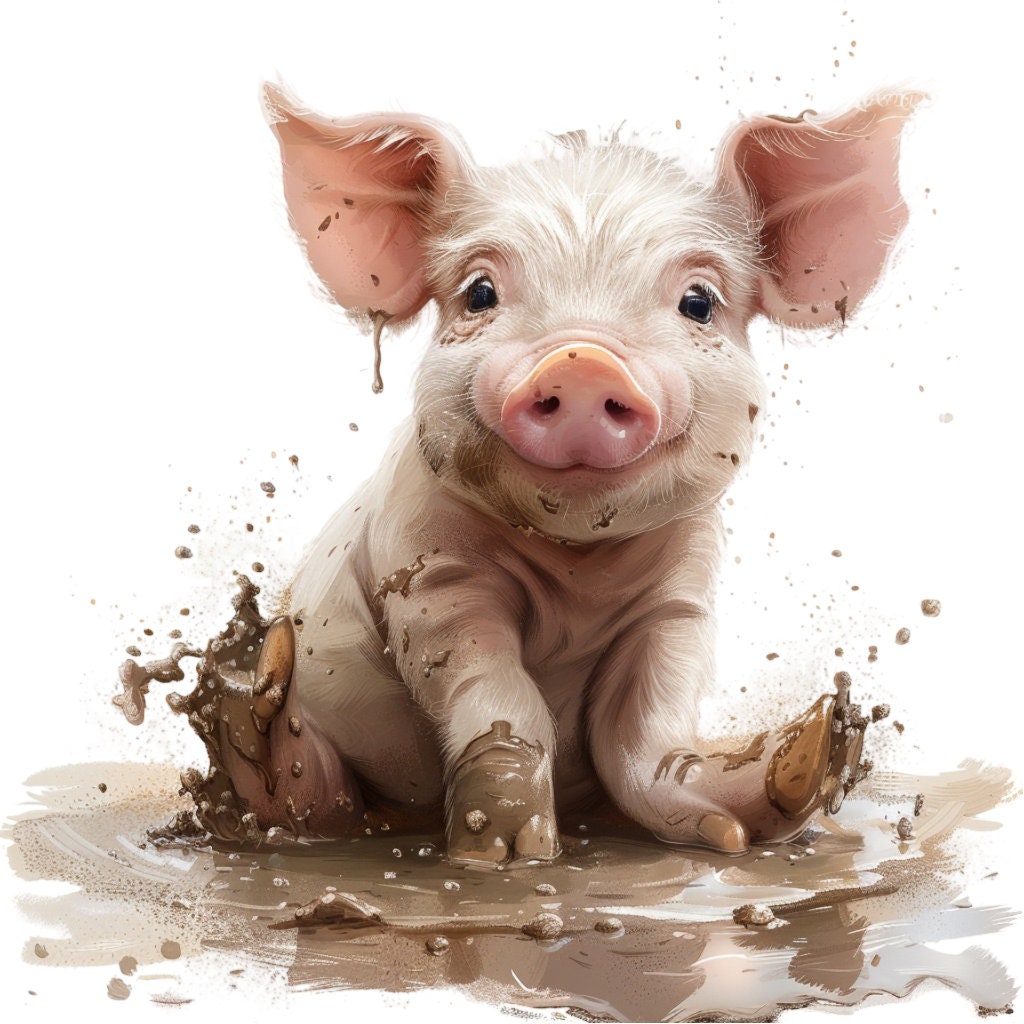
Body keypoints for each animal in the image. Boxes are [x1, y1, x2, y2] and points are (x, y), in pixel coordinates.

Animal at [176, 86, 922, 865]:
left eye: (699, 302)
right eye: (479, 293)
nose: (582, 361)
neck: (578, 577)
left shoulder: (676, 604)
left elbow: (646, 733)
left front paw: (735, 832)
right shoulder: (427, 576)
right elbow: (499, 700)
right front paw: (507, 855)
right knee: (316, 802)